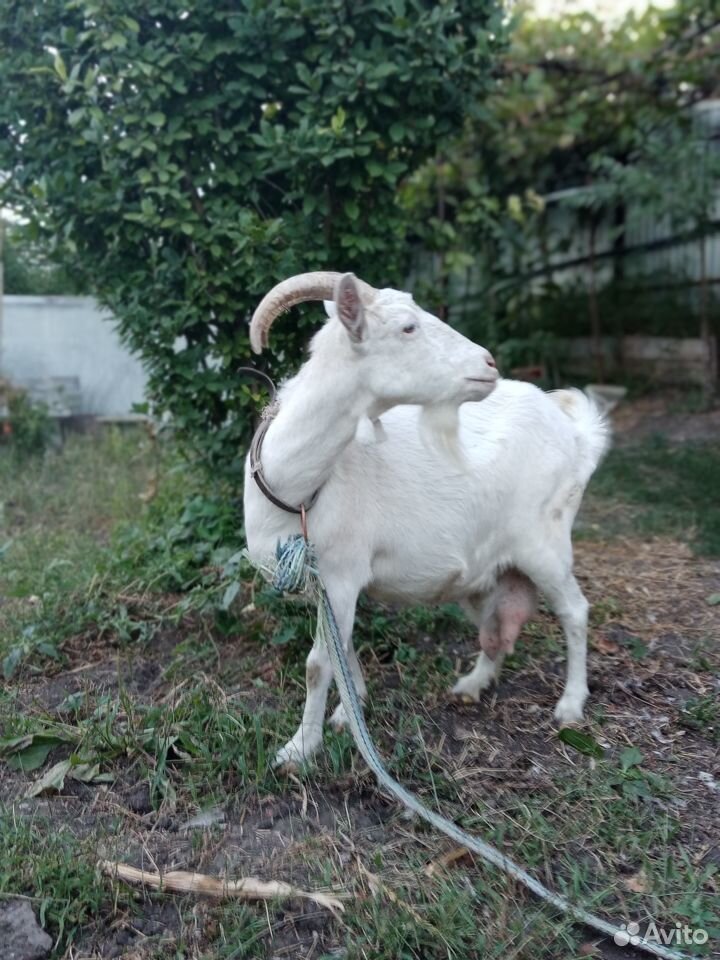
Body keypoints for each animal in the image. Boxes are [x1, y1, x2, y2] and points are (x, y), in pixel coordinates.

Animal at [244, 272, 609, 767]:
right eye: (408, 327)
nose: (488, 362)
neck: (296, 486)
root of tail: (575, 434)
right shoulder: (328, 586)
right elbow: (344, 647)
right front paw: (349, 709)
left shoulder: (341, 574)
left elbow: (319, 663)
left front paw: (298, 750)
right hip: (487, 568)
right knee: (495, 624)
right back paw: (472, 684)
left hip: (545, 544)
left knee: (574, 610)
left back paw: (570, 704)